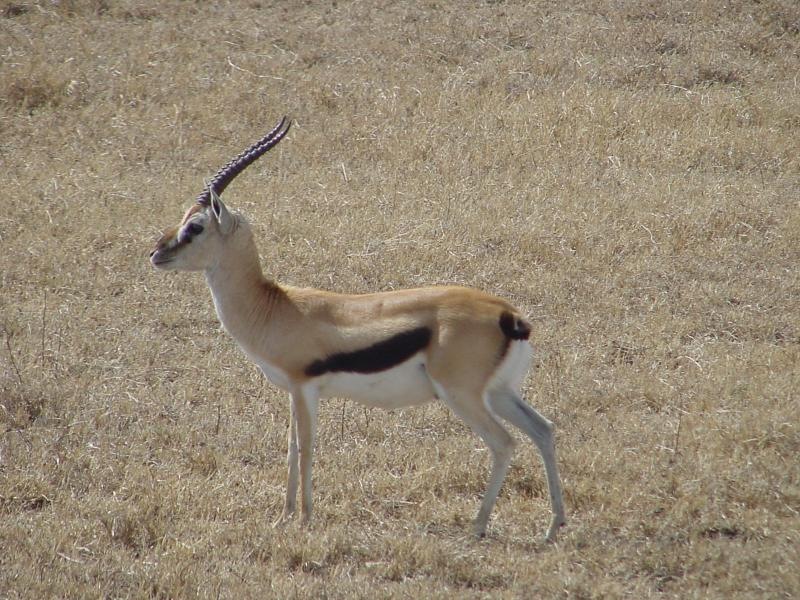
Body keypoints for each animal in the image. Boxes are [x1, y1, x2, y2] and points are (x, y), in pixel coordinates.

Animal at [149, 117, 566, 542]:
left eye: (195, 227)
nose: (156, 253)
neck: (275, 307)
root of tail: (508, 315)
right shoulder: (293, 391)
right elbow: (291, 448)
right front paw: (283, 517)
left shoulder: (305, 387)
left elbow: (306, 447)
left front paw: (304, 518)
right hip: (499, 392)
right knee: (544, 430)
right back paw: (553, 526)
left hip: (462, 395)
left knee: (504, 443)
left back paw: (479, 526)